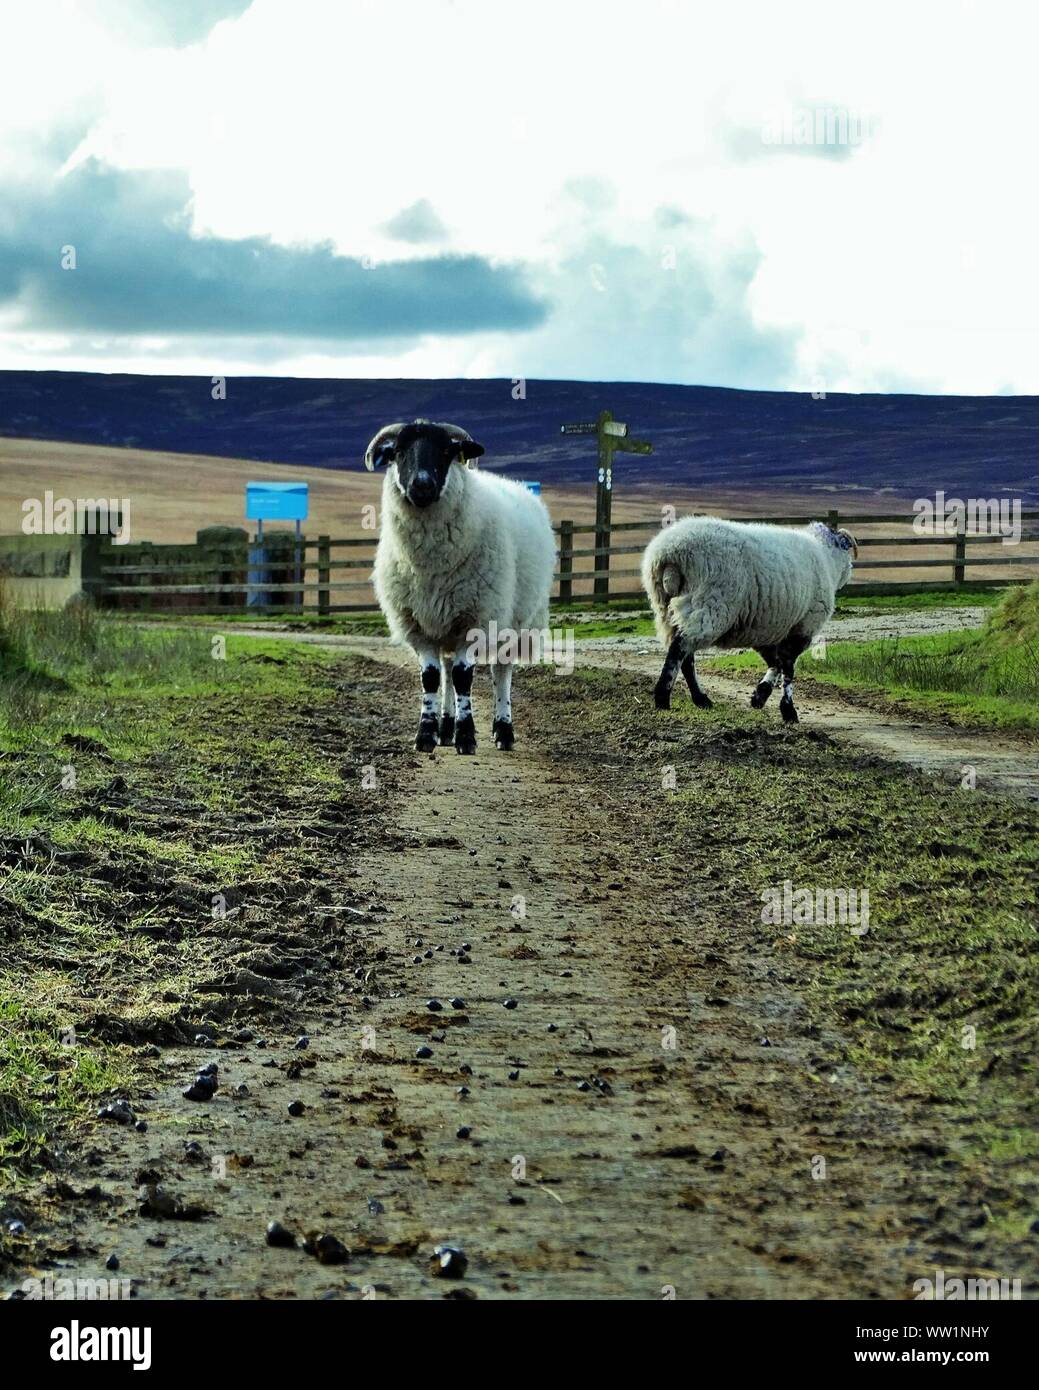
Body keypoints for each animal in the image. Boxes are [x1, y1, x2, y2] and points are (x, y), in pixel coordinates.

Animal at [365, 418, 555, 754]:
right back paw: (445, 728)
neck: (430, 565)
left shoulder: (474, 619)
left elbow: (463, 677)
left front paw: (467, 737)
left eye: (446, 452)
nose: (422, 485)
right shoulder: (419, 624)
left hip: (512, 623)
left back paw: (502, 731)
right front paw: (427, 735)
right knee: (446, 669)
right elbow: (431, 678)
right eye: (398, 452)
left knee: (500, 672)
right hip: (445, 623)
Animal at [641, 517, 858, 723]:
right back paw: (663, 698)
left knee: (685, 656)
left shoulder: (766, 628)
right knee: (679, 649)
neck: (826, 557)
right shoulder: (804, 626)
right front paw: (788, 710)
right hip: (709, 603)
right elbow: (788, 668)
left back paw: (700, 699)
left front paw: (760, 696)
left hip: (665, 608)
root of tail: (668, 554)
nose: (850, 569)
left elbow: (776, 662)